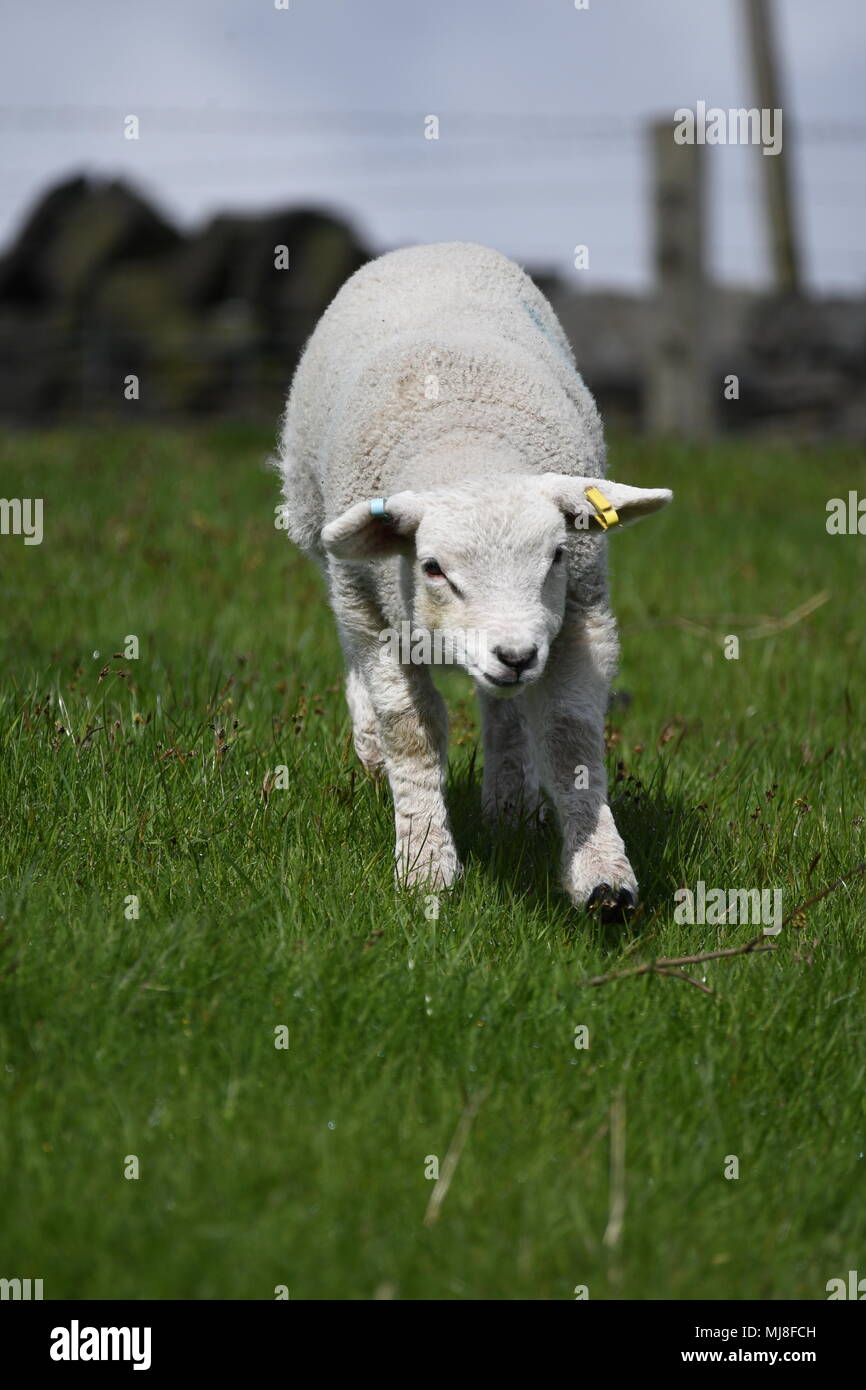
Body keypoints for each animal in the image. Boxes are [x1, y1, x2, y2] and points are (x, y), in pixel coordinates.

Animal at [277, 242, 672, 917]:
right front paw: (426, 867)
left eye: (557, 556)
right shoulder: (380, 620)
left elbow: (569, 738)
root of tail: (428, 246)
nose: (515, 654)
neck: (466, 444)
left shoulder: (579, 618)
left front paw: (602, 877)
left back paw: (510, 806)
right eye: (432, 567)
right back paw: (371, 746)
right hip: (329, 546)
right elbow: (412, 733)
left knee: (504, 711)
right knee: (355, 650)